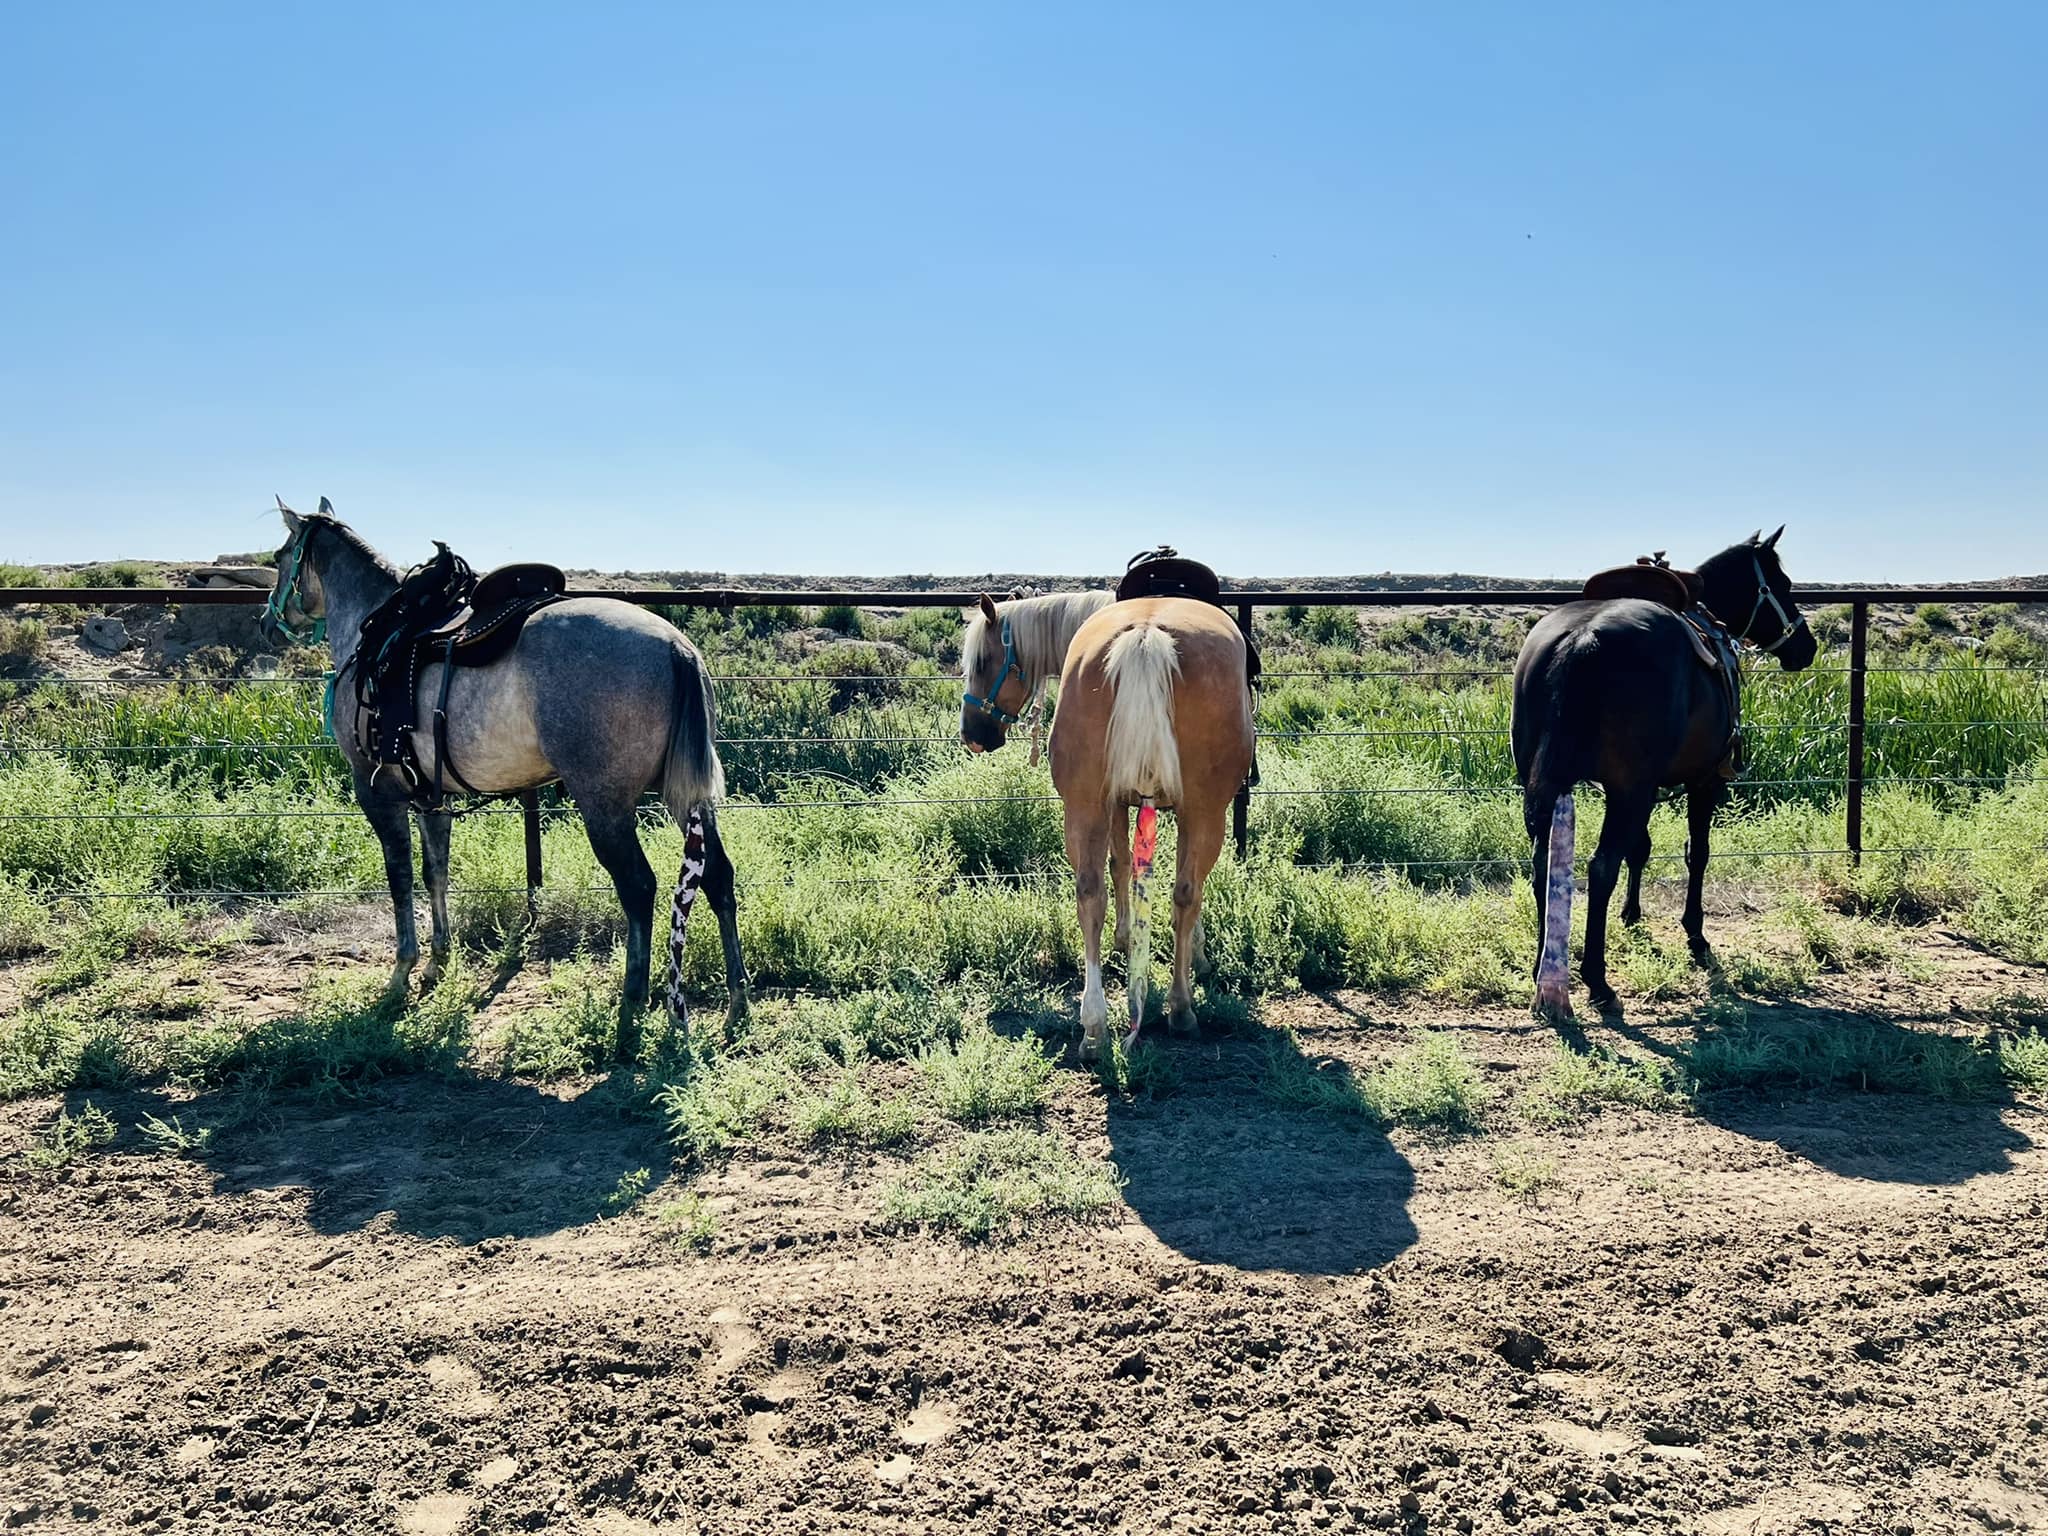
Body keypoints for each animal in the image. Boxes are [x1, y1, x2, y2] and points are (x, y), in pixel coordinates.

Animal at [264, 500, 748, 1054]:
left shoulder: (377, 791)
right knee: (718, 877)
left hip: (604, 806)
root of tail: (676, 647)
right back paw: (736, 1005)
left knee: (639, 887)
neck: (382, 633)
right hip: (684, 800)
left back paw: (630, 1010)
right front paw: (436, 964)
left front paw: (401, 976)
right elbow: (435, 872)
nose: (267, 620)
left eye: (280, 556)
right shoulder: (432, 799)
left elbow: (400, 878)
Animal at [961, 591, 1254, 1062]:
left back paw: (1094, 1025)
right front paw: (1183, 949)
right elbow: (1144, 878)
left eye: (985, 661)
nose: (971, 733)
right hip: (1204, 812)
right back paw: (1180, 1008)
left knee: (1089, 893)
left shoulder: (1115, 803)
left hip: (1085, 808)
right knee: (1185, 893)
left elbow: (1117, 870)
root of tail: (1146, 634)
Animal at [1511, 527, 1817, 1018]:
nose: (1805, 647)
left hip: (1551, 784)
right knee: (1600, 867)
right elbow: (1698, 852)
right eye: (1784, 584)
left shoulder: (1643, 785)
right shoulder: (1703, 781)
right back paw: (1598, 981)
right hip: (1628, 790)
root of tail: (1580, 640)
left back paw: (1545, 961)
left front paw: (1632, 914)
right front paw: (1695, 933)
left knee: (1545, 865)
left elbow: (1641, 849)